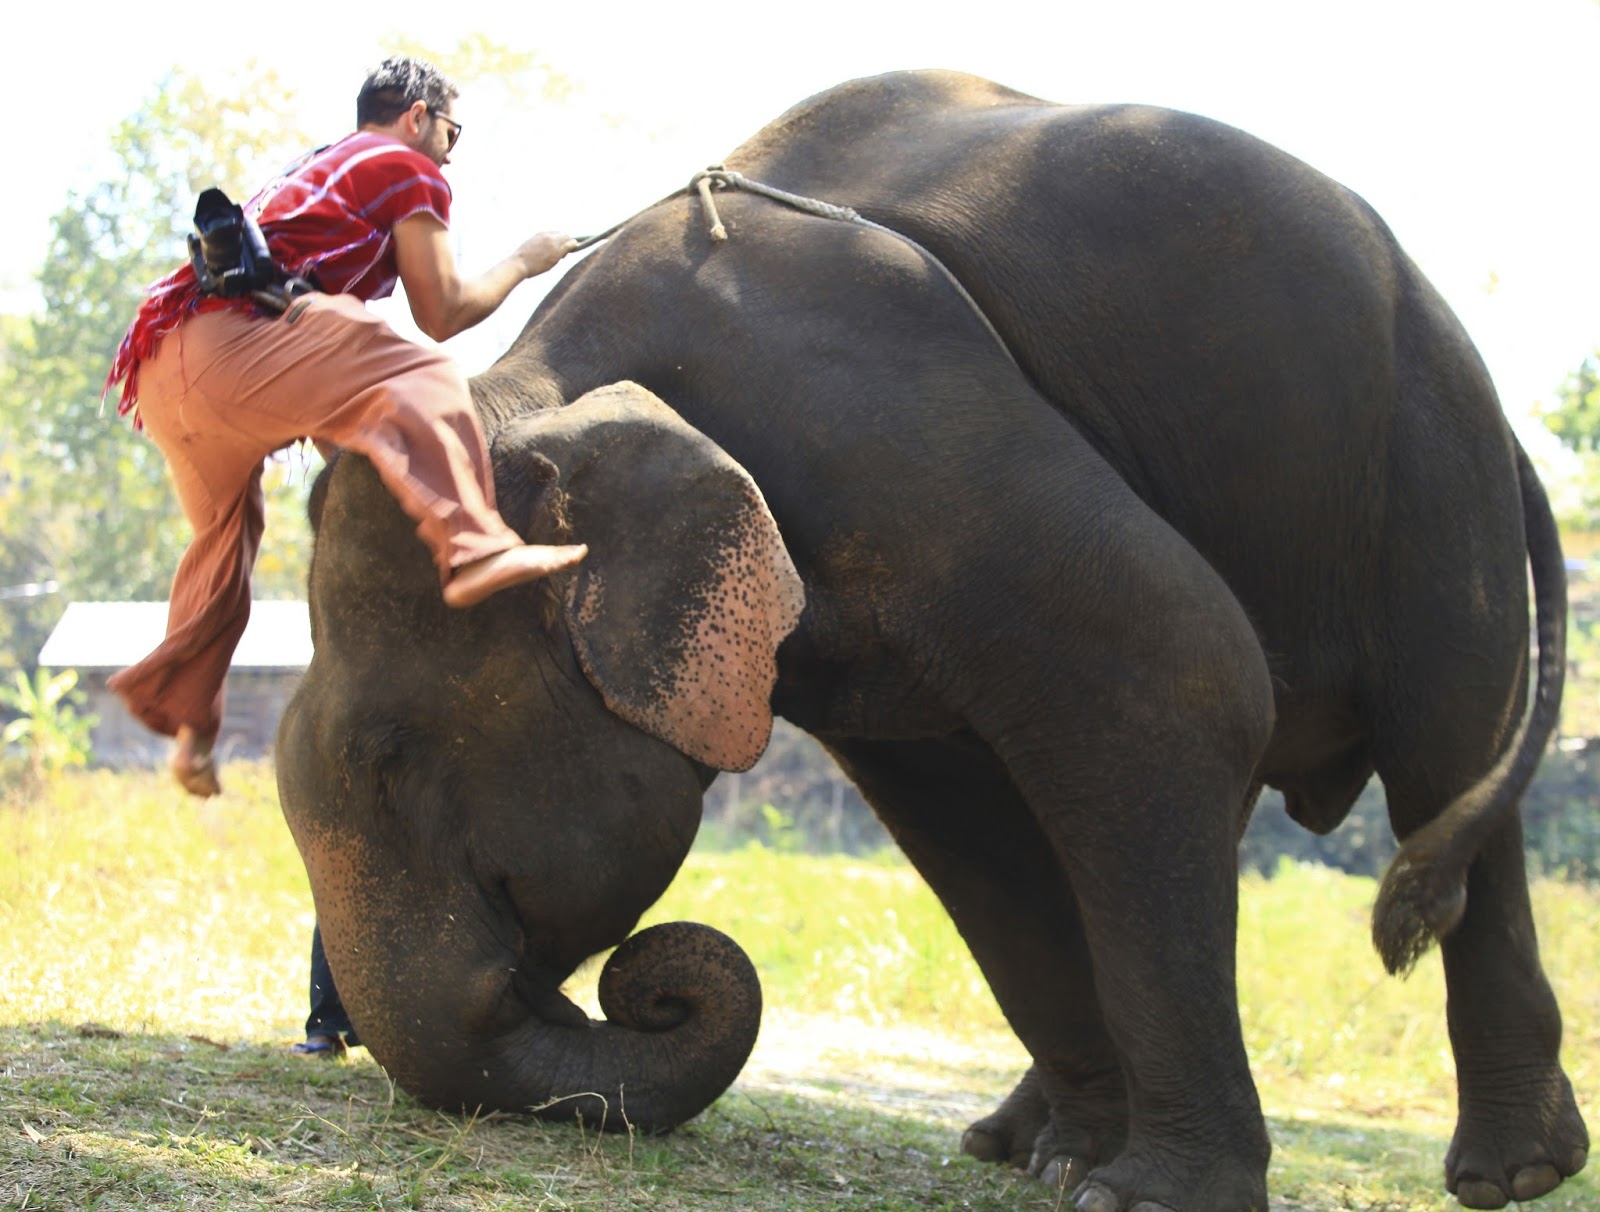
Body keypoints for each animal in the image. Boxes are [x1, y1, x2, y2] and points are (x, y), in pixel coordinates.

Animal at [276, 70, 1589, 1212]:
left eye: (391, 759)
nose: (643, 994)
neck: (540, 380)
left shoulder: (895, 430)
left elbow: (1181, 668)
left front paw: (1138, 1198)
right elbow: (964, 832)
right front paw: (1076, 1166)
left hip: (1427, 471)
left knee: (1442, 758)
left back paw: (1509, 1174)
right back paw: (1018, 1143)